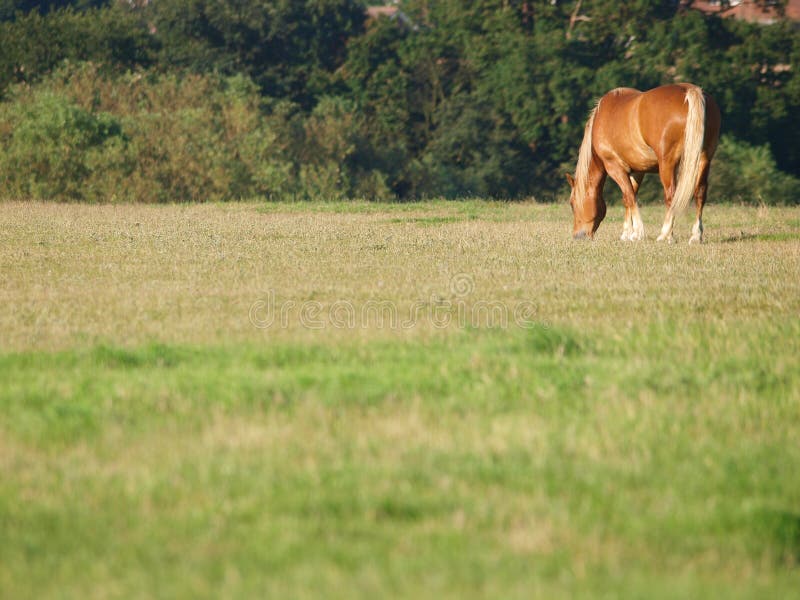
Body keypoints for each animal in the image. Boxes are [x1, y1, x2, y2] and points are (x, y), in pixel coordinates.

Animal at [566, 83, 721, 243]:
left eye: (572, 204)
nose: (577, 236)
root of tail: (689, 90)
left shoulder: (615, 168)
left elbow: (630, 197)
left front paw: (637, 232)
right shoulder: (638, 171)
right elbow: (628, 197)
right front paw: (627, 233)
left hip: (667, 164)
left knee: (671, 195)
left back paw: (665, 235)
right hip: (703, 160)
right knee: (700, 193)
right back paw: (696, 236)